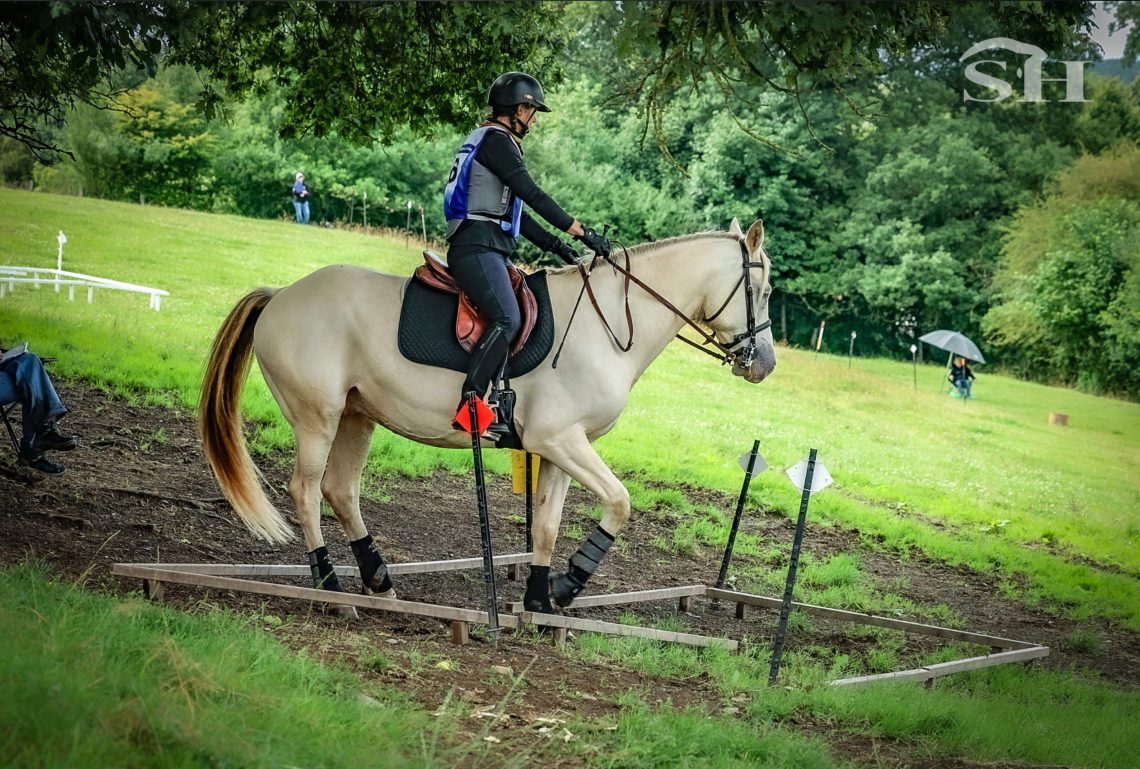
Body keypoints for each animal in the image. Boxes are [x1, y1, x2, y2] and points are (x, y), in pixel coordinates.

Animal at [198, 218, 776, 614]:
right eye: (763, 291)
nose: (764, 364)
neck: (608, 323)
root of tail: (280, 297)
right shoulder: (559, 440)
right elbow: (620, 502)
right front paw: (568, 584)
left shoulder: (559, 447)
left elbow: (546, 526)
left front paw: (540, 601)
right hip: (318, 418)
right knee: (305, 491)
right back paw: (331, 588)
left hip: (357, 416)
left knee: (340, 490)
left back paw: (378, 578)